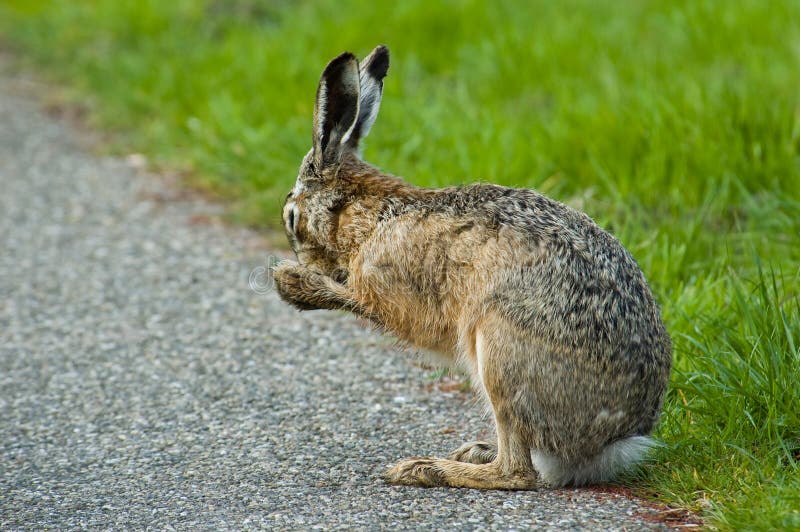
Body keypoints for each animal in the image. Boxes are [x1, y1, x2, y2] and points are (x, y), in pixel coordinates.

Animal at [272, 45, 672, 490]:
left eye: (291, 218)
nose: (301, 261)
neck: (369, 217)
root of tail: (610, 444)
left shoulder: (390, 291)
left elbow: (362, 302)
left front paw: (291, 281)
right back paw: (472, 451)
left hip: (500, 349)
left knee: (516, 471)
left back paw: (428, 468)